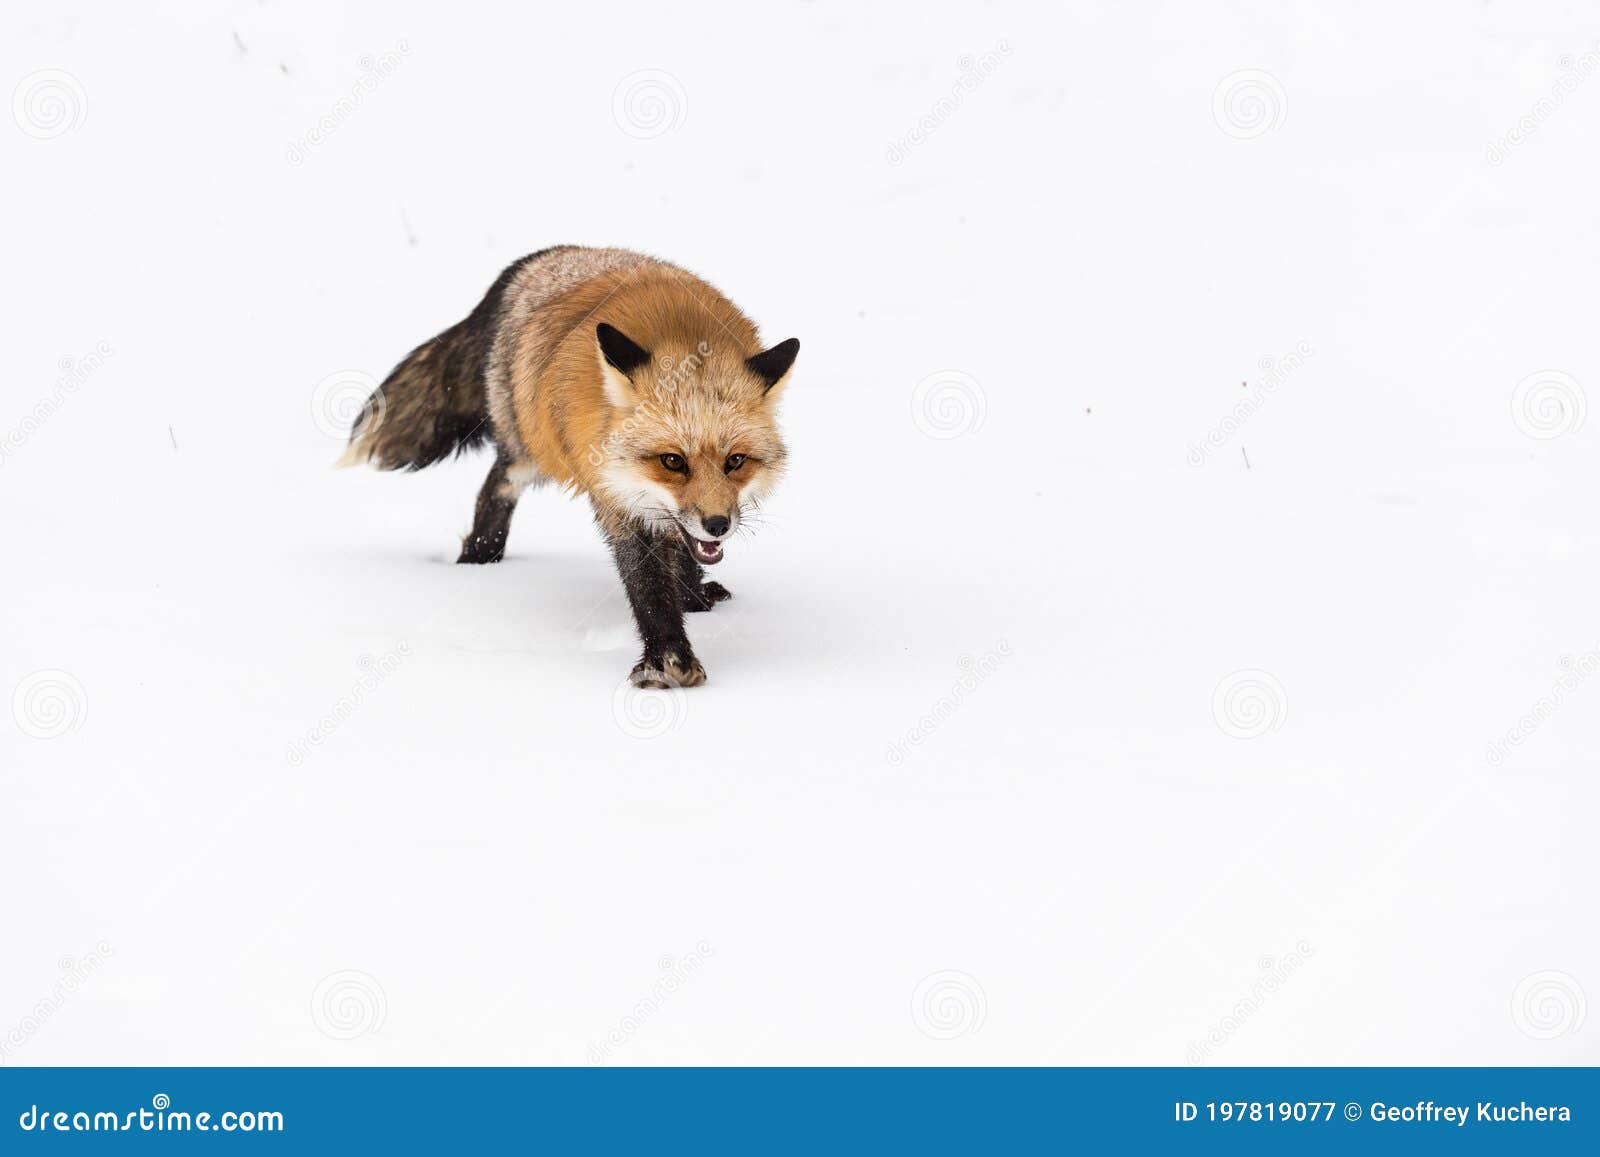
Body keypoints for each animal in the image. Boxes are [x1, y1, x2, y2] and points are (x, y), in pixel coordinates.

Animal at [340, 246, 800, 689]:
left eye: (735, 461)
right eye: (672, 461)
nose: (718, 524)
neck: (685, 337)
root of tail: (535, 260)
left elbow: (677, 555)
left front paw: (688, 603)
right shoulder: (617, 500)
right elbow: (648, 587)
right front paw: (667, 659)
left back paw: (694, 596)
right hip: (528, 450)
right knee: (495, 486)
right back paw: (479, 561)